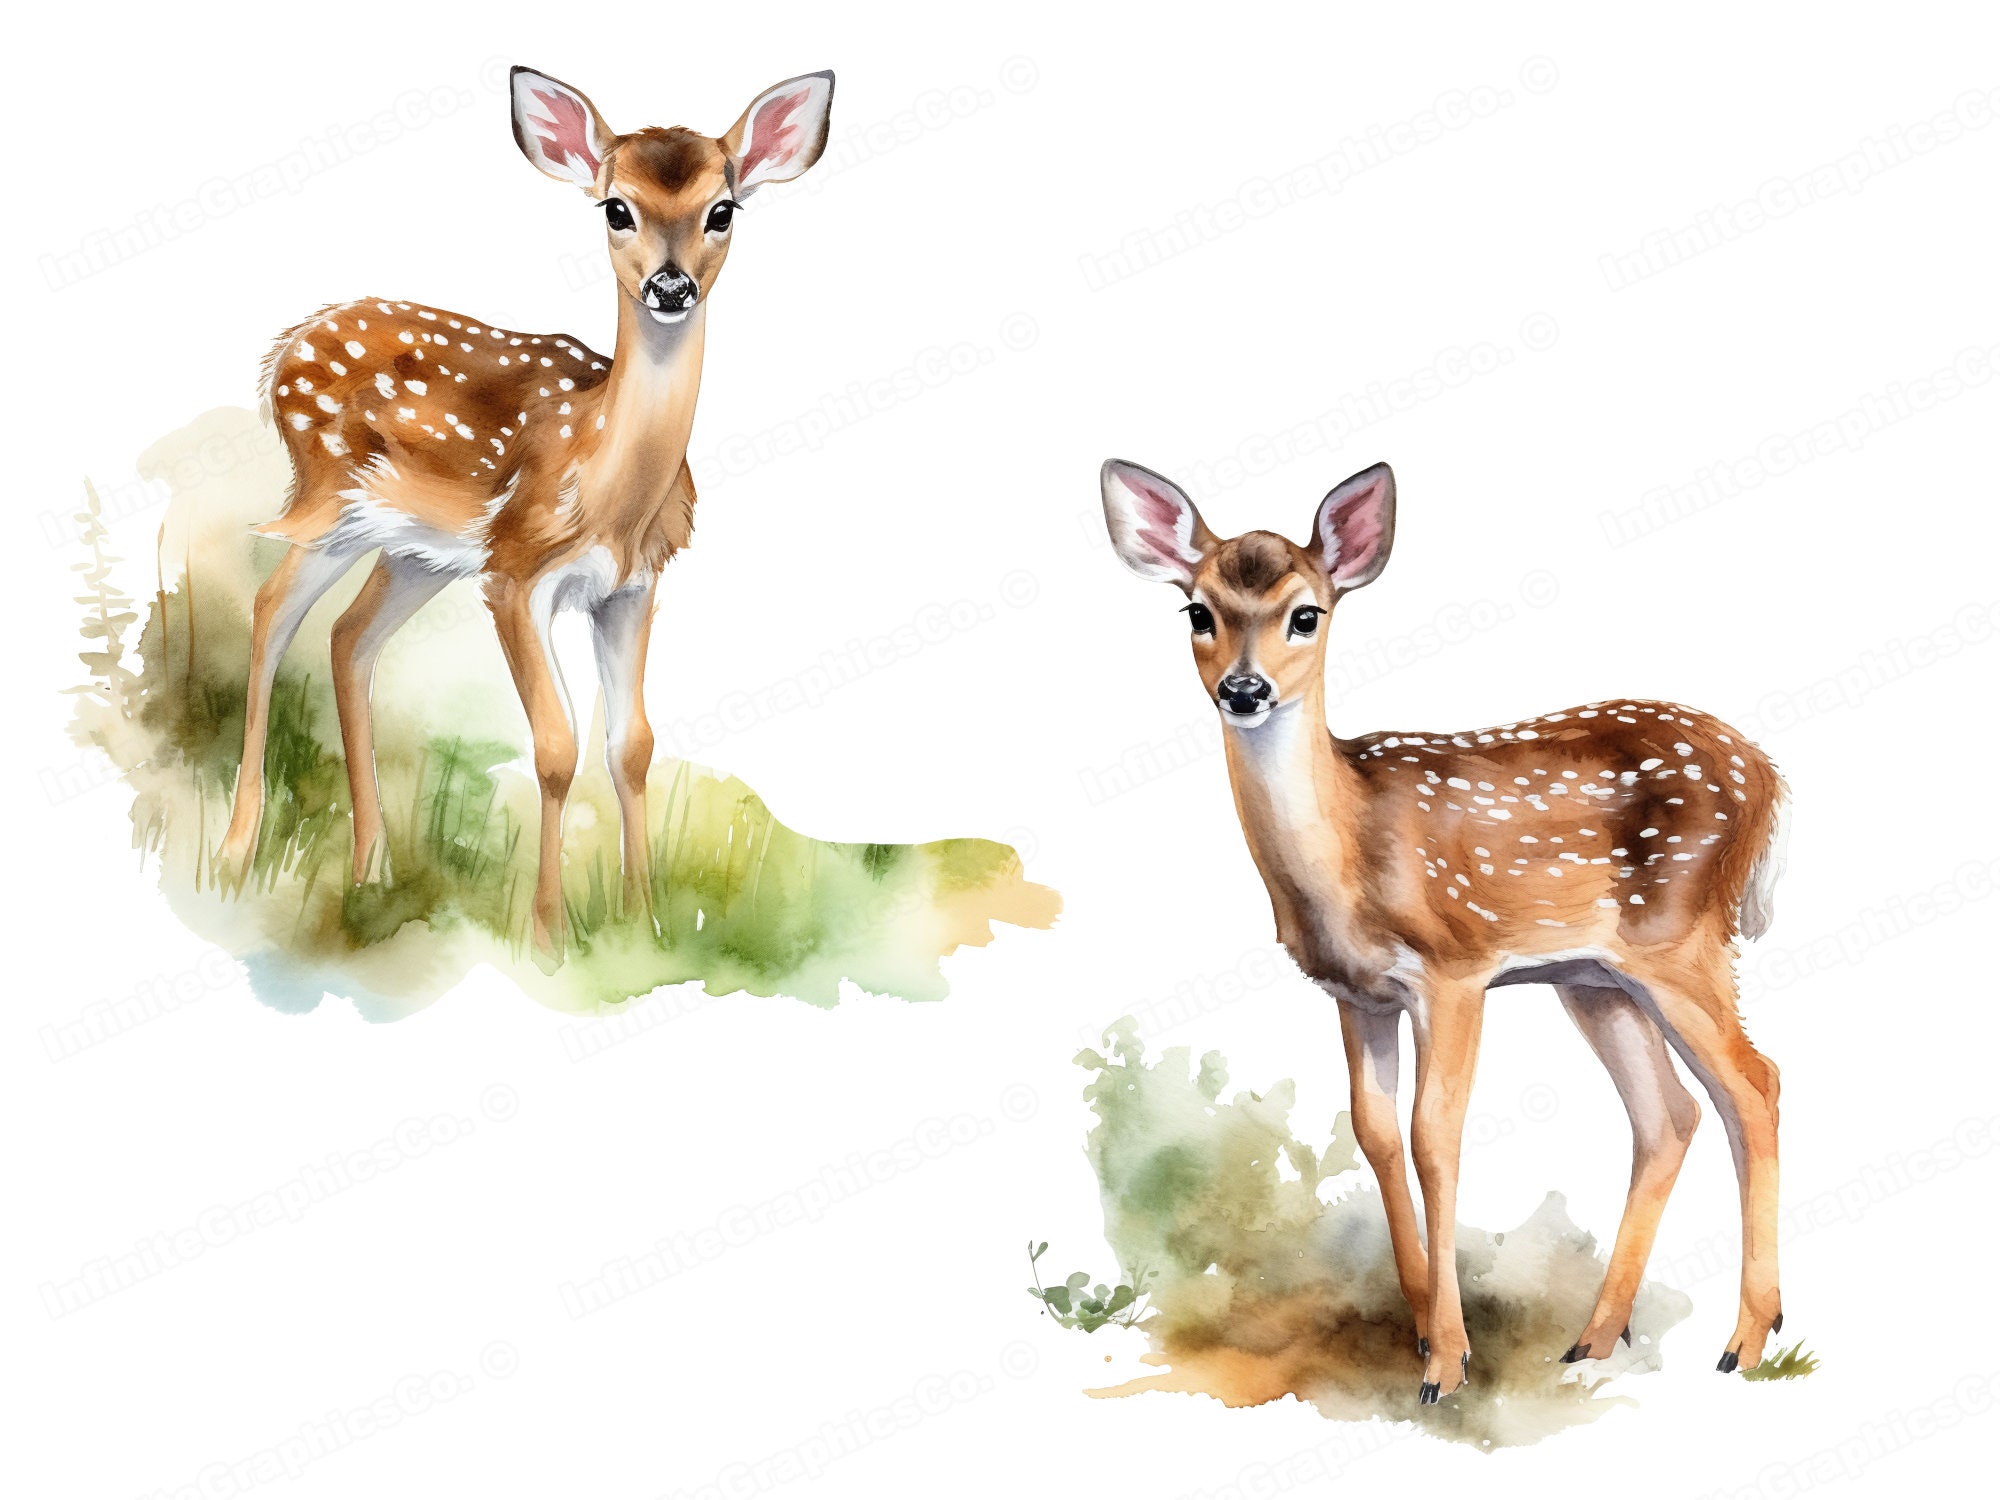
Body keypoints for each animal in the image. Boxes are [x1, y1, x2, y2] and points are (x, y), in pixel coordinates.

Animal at [217, 66, 834, 960]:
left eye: (723, 210)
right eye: (616, 208)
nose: (670, 286)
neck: (609, 491)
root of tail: (288, 347)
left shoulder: (632, 586)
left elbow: (631, 745)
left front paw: (642, 922)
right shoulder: (515, 571)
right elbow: (554, 746)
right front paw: (547, 935)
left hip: (415, 552)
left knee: (348, 637)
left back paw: (372, 867)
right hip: (330, 502)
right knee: (273, 610)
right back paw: (238, 849)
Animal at [1100, 458, 1790, 1404]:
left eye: (1306, 613)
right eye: (1198, 612)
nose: (1244, 690)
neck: (1349, 852)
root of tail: (1767, 774)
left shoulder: (1454, 971)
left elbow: (1436, 1134)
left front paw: (1447, 1363)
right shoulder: (1356, 993)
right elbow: (1377, 1133)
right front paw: (1424, 1328)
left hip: (1681, 938)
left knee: (1756, 1086)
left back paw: (1748, 1339)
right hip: (1597, 978)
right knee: (1670, 1114)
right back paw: (1594, 1339)